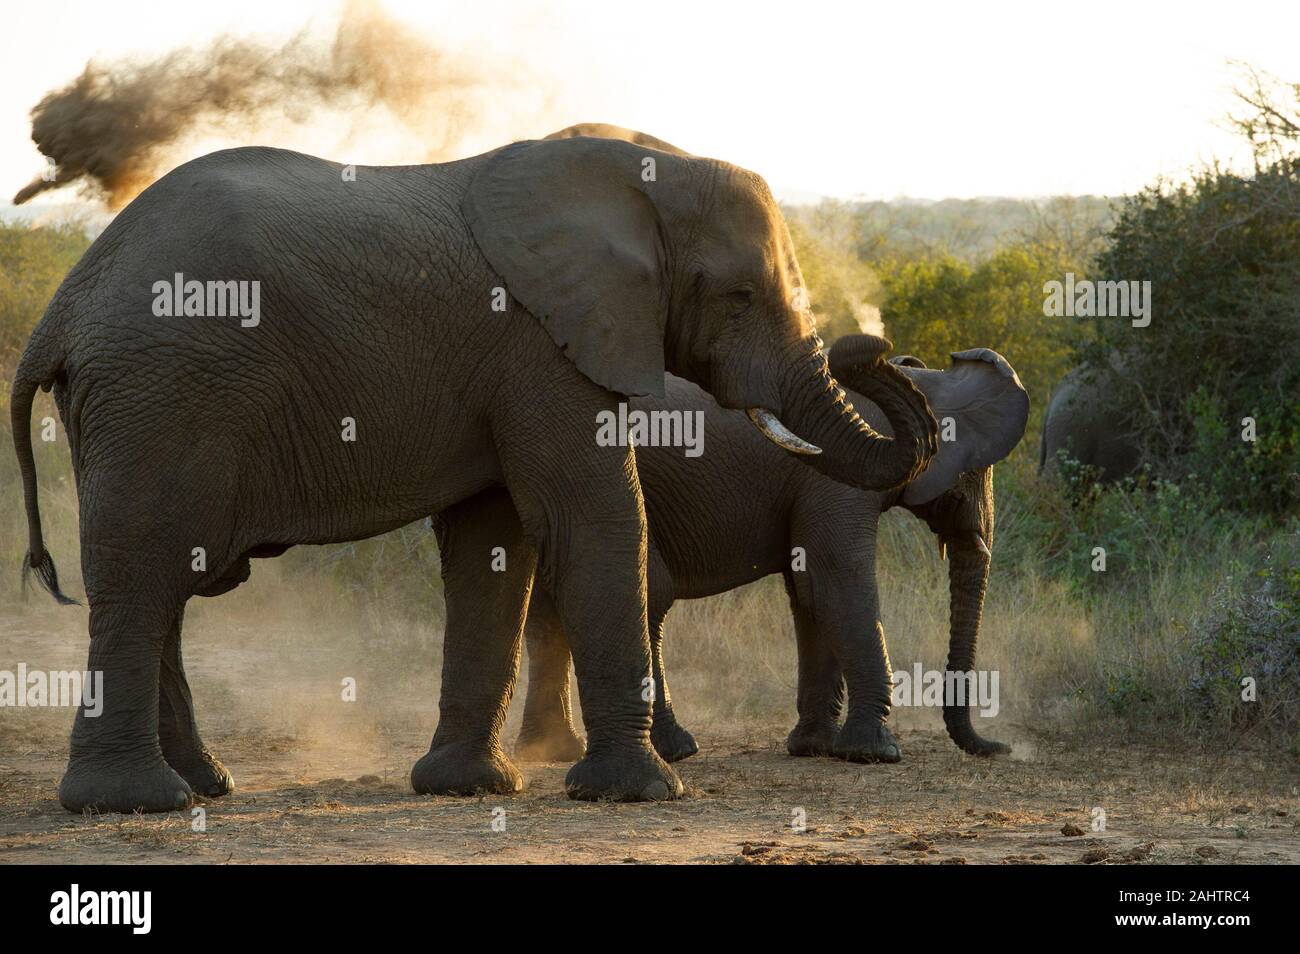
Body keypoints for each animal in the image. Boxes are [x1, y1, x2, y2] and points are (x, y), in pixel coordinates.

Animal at [11, 131, 939, 812]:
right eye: (739, 296)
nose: (869, 347)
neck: (637, 170)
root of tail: (62, 307)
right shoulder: (542, 344)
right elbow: (593, 519)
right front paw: (640, 794)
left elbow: (495, 546)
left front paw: (469, 788)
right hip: (162, 392)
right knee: (145, 568)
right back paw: (137, 803)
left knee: (165, 579)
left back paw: (205, 787)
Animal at [433, 339, 1028, 769]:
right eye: (976, 473)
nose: (1001, 748)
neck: (920, 377)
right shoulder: (834, 483)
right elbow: (836, 581)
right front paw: (874, 755)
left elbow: (807, 590)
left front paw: (812, 748)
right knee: (647, 596)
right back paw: (675, 751)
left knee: (552, 608)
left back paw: (555, 753)